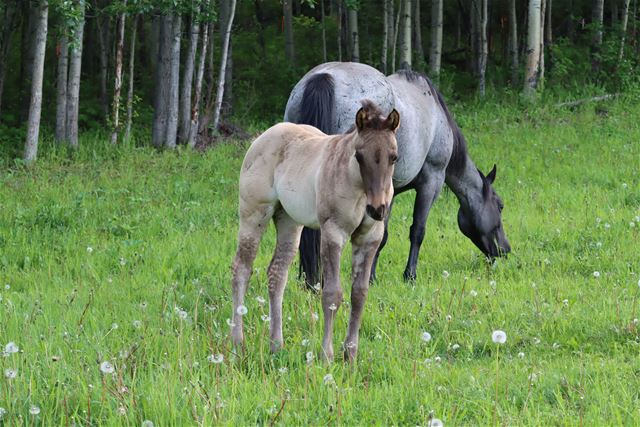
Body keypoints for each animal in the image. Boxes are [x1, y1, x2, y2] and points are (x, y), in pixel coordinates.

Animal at [231, 100, 400, 362]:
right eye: (359, 156)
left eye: (394, 157)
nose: (377, 209)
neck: (359, 188)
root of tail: (262, 137)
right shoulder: (333, 232)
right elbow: (332, 294)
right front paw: (326, 355)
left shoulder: (370, 237)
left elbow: (359, 294)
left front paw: (350, 356)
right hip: (254, 215)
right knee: (241, 269)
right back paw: (238, 342)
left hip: (289, 221)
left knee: (277, 273)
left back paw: (276, 345)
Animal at [284, 62, 511, 286]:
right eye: (500, 206)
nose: (505, 250)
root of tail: (324, 76)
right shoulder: (431, 182)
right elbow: (417, 231)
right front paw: (409, 276)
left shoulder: (387, 192)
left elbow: (381, 236)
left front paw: (371, 277)